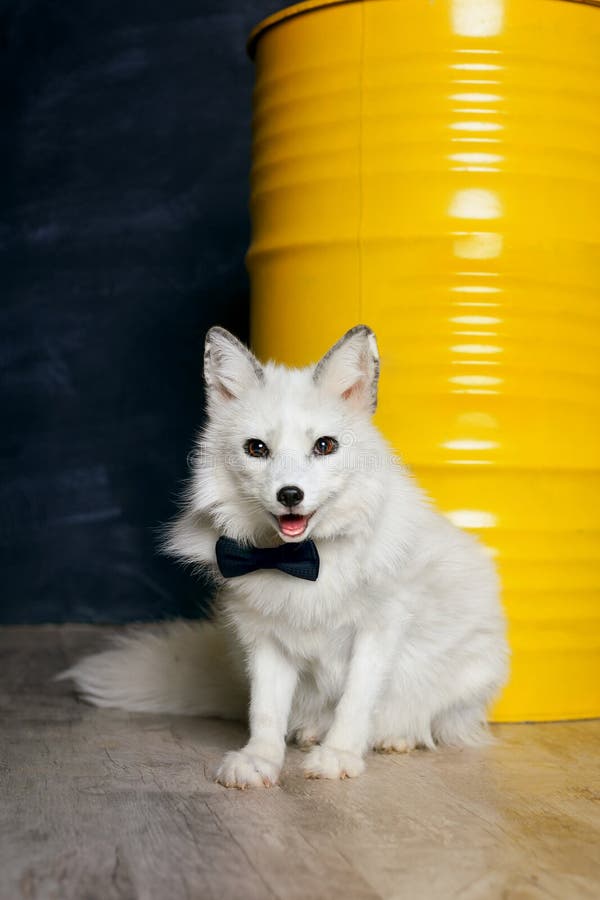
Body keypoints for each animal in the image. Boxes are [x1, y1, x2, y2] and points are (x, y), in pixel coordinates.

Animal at [61, 324, 509, 788]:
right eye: (257, 449)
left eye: (324, 446)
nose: (290, 495)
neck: (303, 562)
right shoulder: (265, 639)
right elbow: (265, 711)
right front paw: (259, 759)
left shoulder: (378, 630)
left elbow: (354, 702)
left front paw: (339, 755)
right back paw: (311, 733)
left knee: (425, 721)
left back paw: (394, 737)